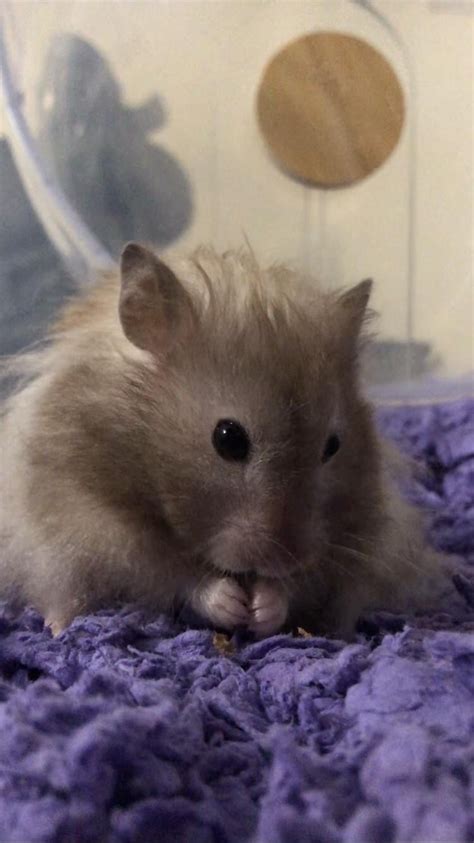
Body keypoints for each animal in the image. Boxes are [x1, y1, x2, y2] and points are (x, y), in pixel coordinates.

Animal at [0, 243, 443, 638]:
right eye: (228, 439)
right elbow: (169, 571)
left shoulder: (354, 541)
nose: (284, 558)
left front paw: (264, 605)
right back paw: (59, 629)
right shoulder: (97, 525)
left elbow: (306, 583)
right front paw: (231, 602)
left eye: (332, 446)